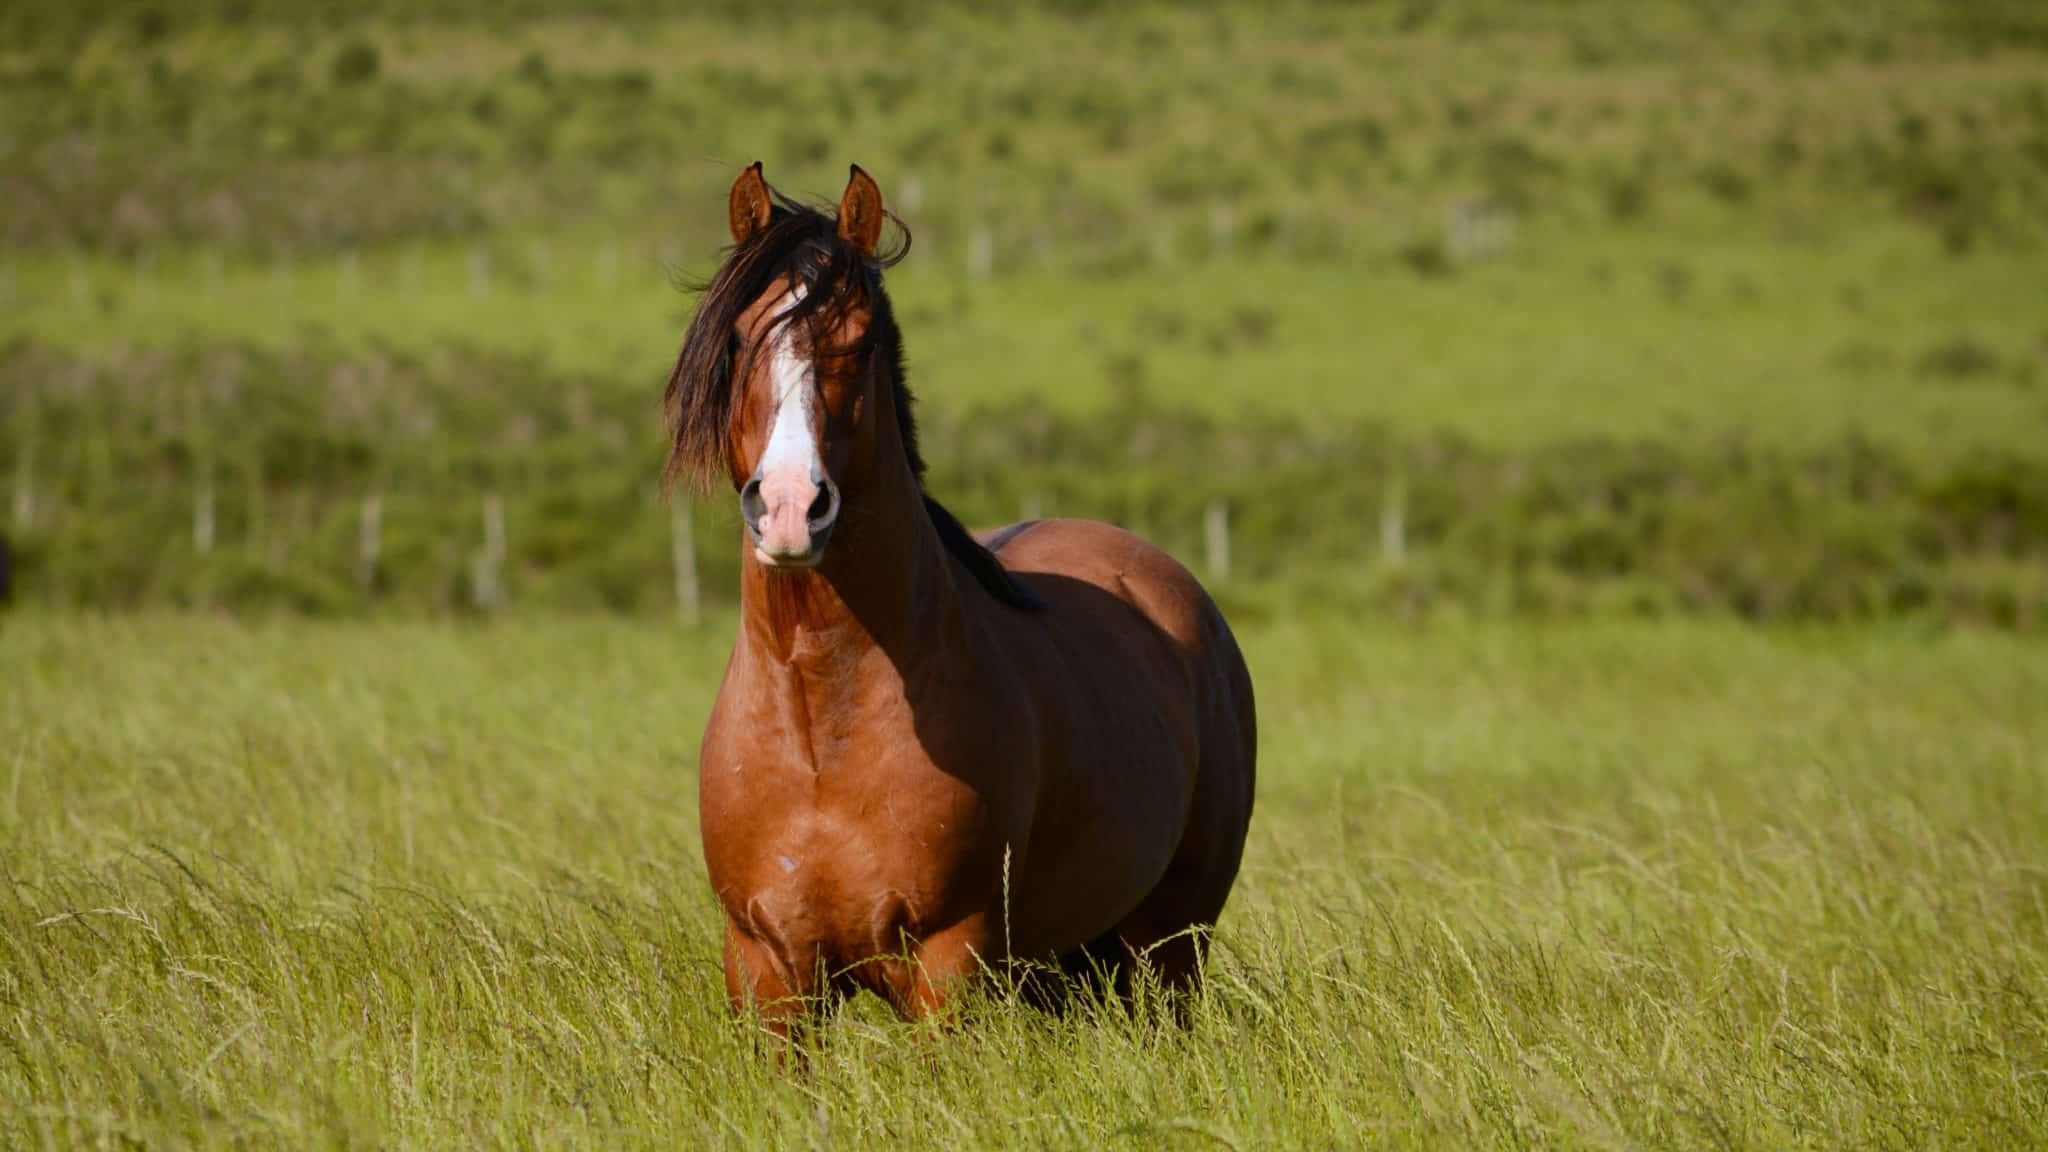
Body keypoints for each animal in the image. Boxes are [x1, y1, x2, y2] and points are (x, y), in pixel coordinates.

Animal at [664, 162, 1256, 1037]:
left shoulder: (950, 964)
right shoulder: (766, 972)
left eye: (862, 342)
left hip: (1169, 948)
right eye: (739, 341)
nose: (790, 506)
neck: (820, 736)